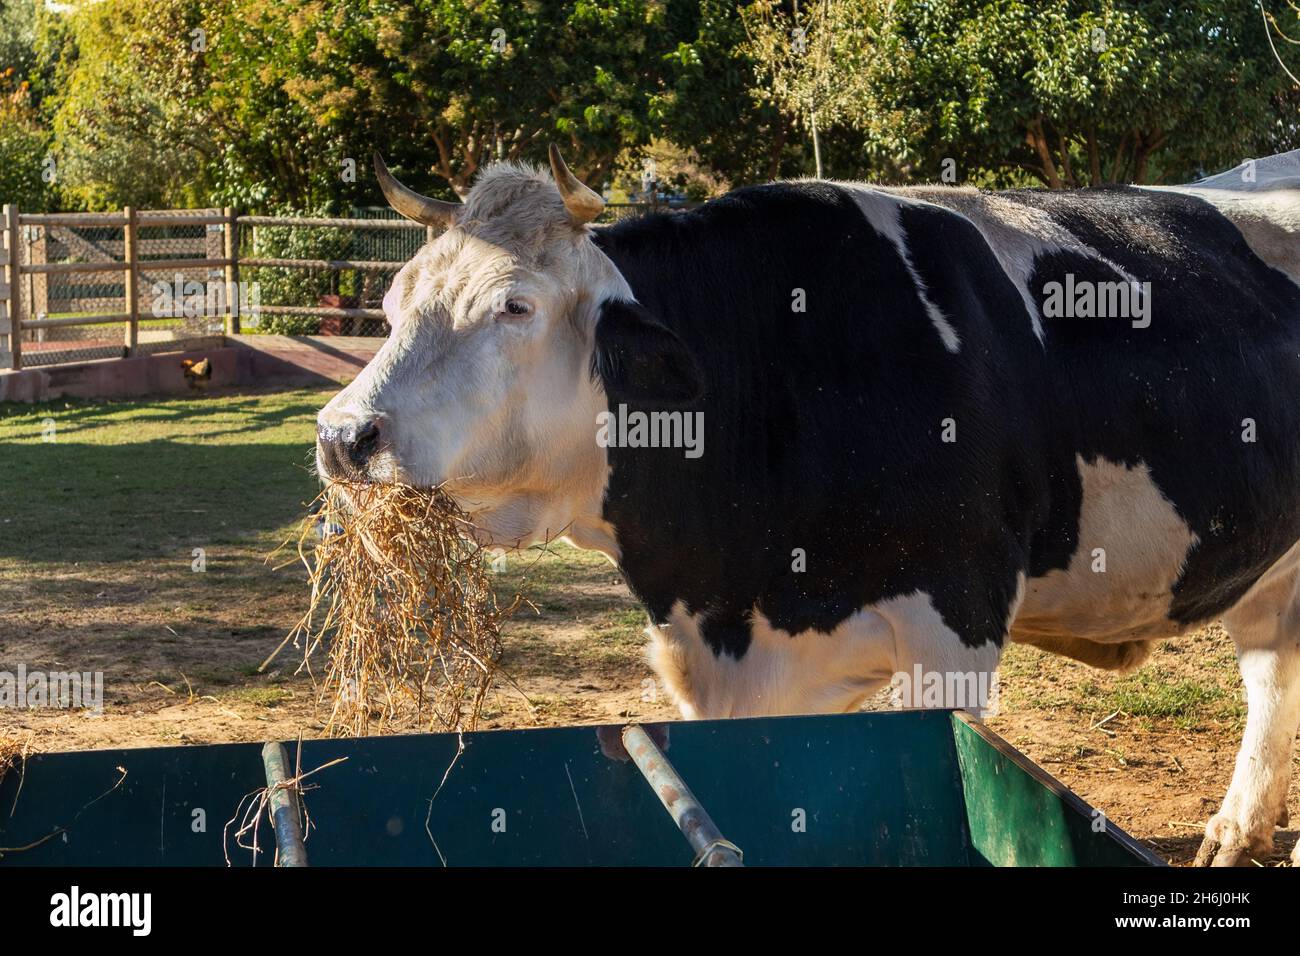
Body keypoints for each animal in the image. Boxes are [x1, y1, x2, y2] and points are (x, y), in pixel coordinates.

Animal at [316, 145, 1300, 866]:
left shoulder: (958, 619)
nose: (343, 436)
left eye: (514, 306)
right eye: (393, 301)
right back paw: (1236, 831)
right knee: (1272, 669)